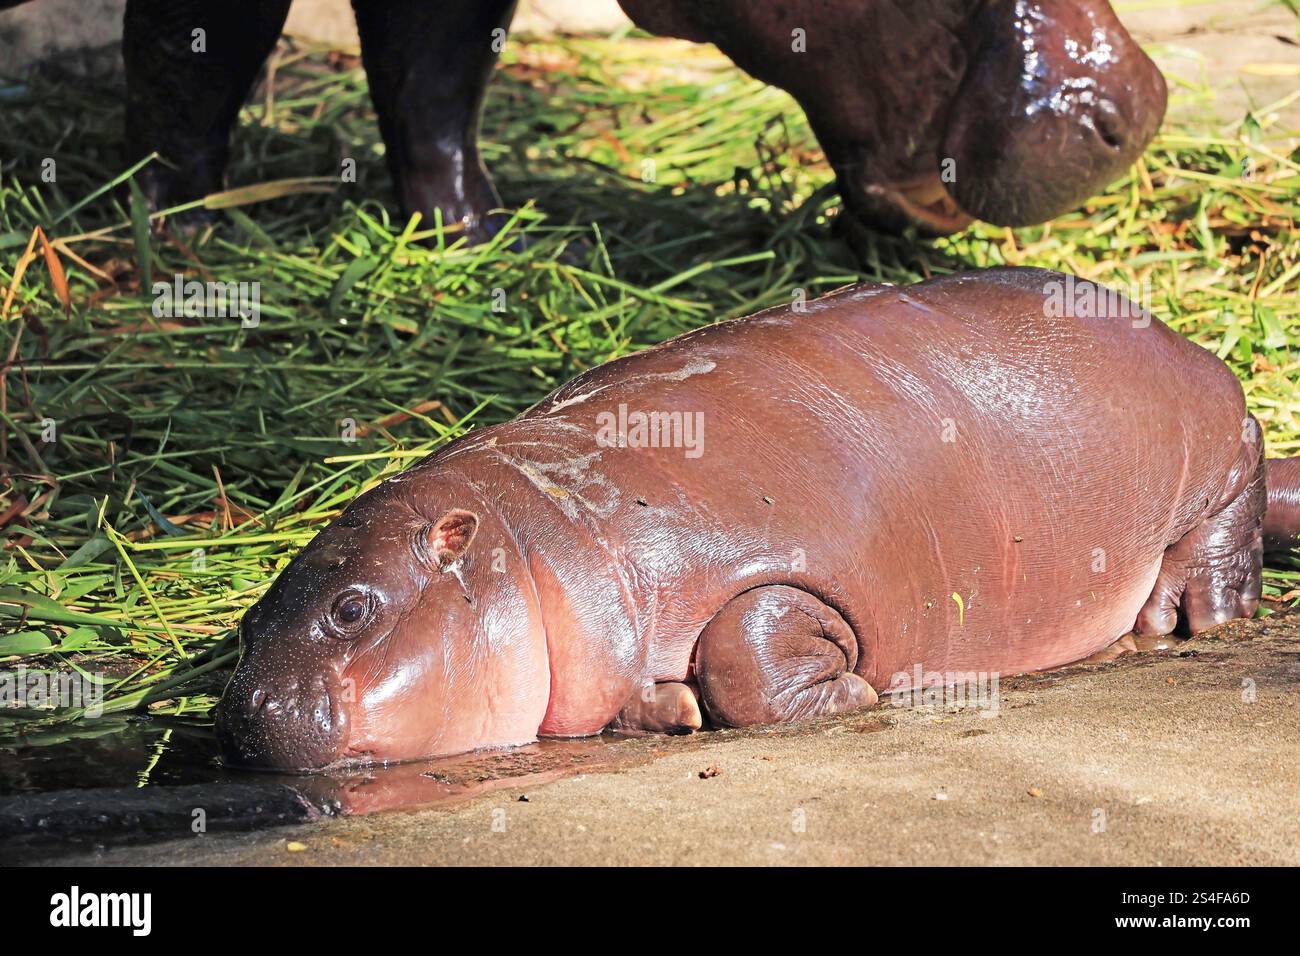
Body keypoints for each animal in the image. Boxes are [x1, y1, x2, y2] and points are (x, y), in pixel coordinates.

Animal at [215, 267, 1300, 770]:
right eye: (249, 622)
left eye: (352, 609)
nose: (245, 712)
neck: (535, 539)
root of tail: (1179, 337)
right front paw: (663, 708)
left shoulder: (775, 568)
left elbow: (750, 643)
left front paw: (849, 693)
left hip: (1217, 445)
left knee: (1233, 499)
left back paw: (1175, 617)